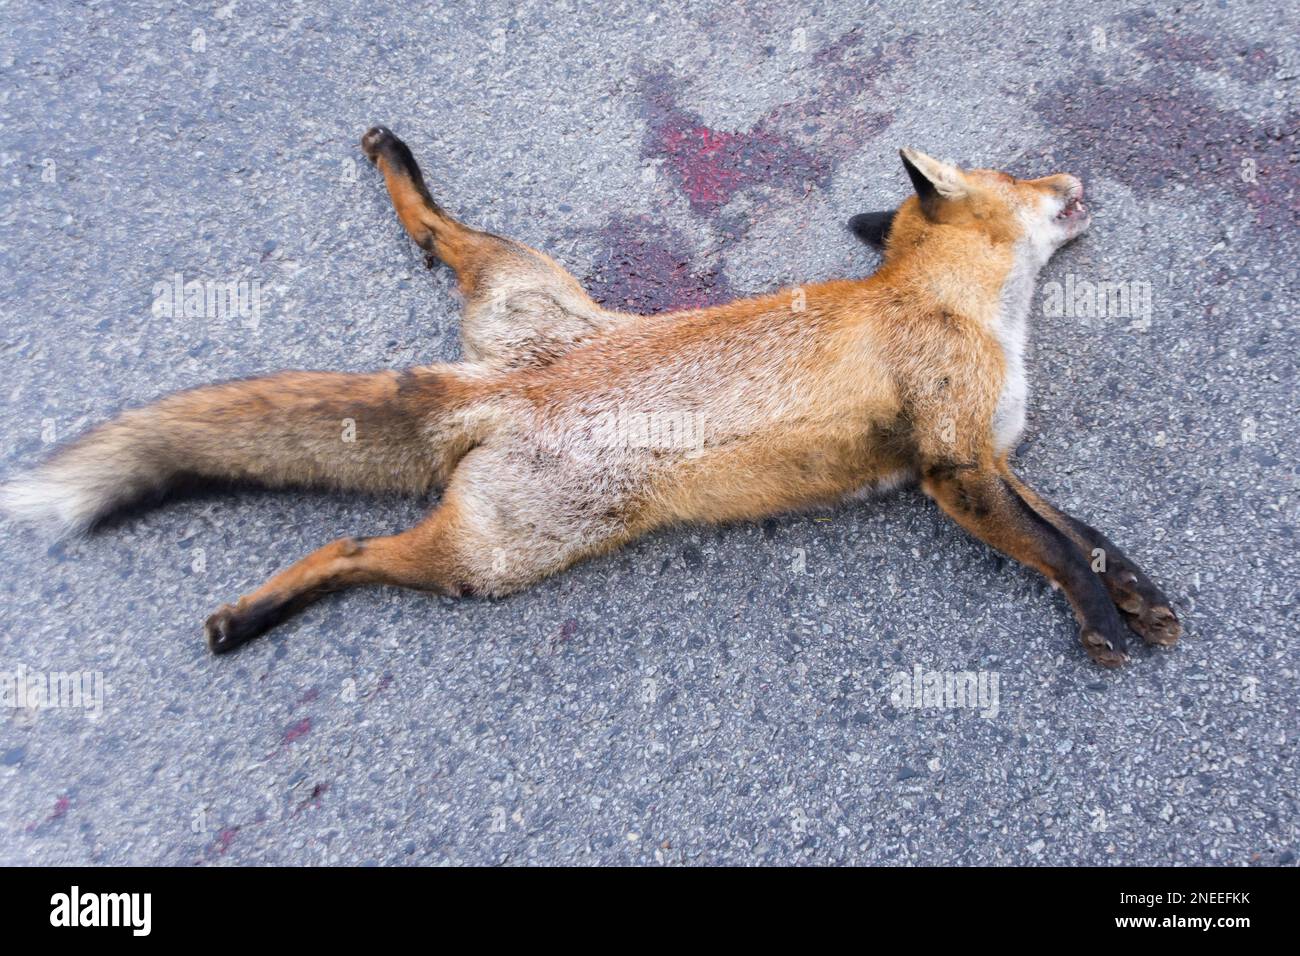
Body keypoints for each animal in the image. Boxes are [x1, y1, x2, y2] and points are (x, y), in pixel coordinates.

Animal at [0, 126, 1181, 667]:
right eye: (1016, 174)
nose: (1069, 178)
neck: (965, 310)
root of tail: (504, 384)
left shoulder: (993, 458)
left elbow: (1085, 534)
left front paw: (1136, 592)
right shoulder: (952, 464)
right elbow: (1057, 548)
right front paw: (1097, 622)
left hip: (523, 289)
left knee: (445, 239)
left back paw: (394, 158)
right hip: (498, 557)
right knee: (348, 549)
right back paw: (249, 613)